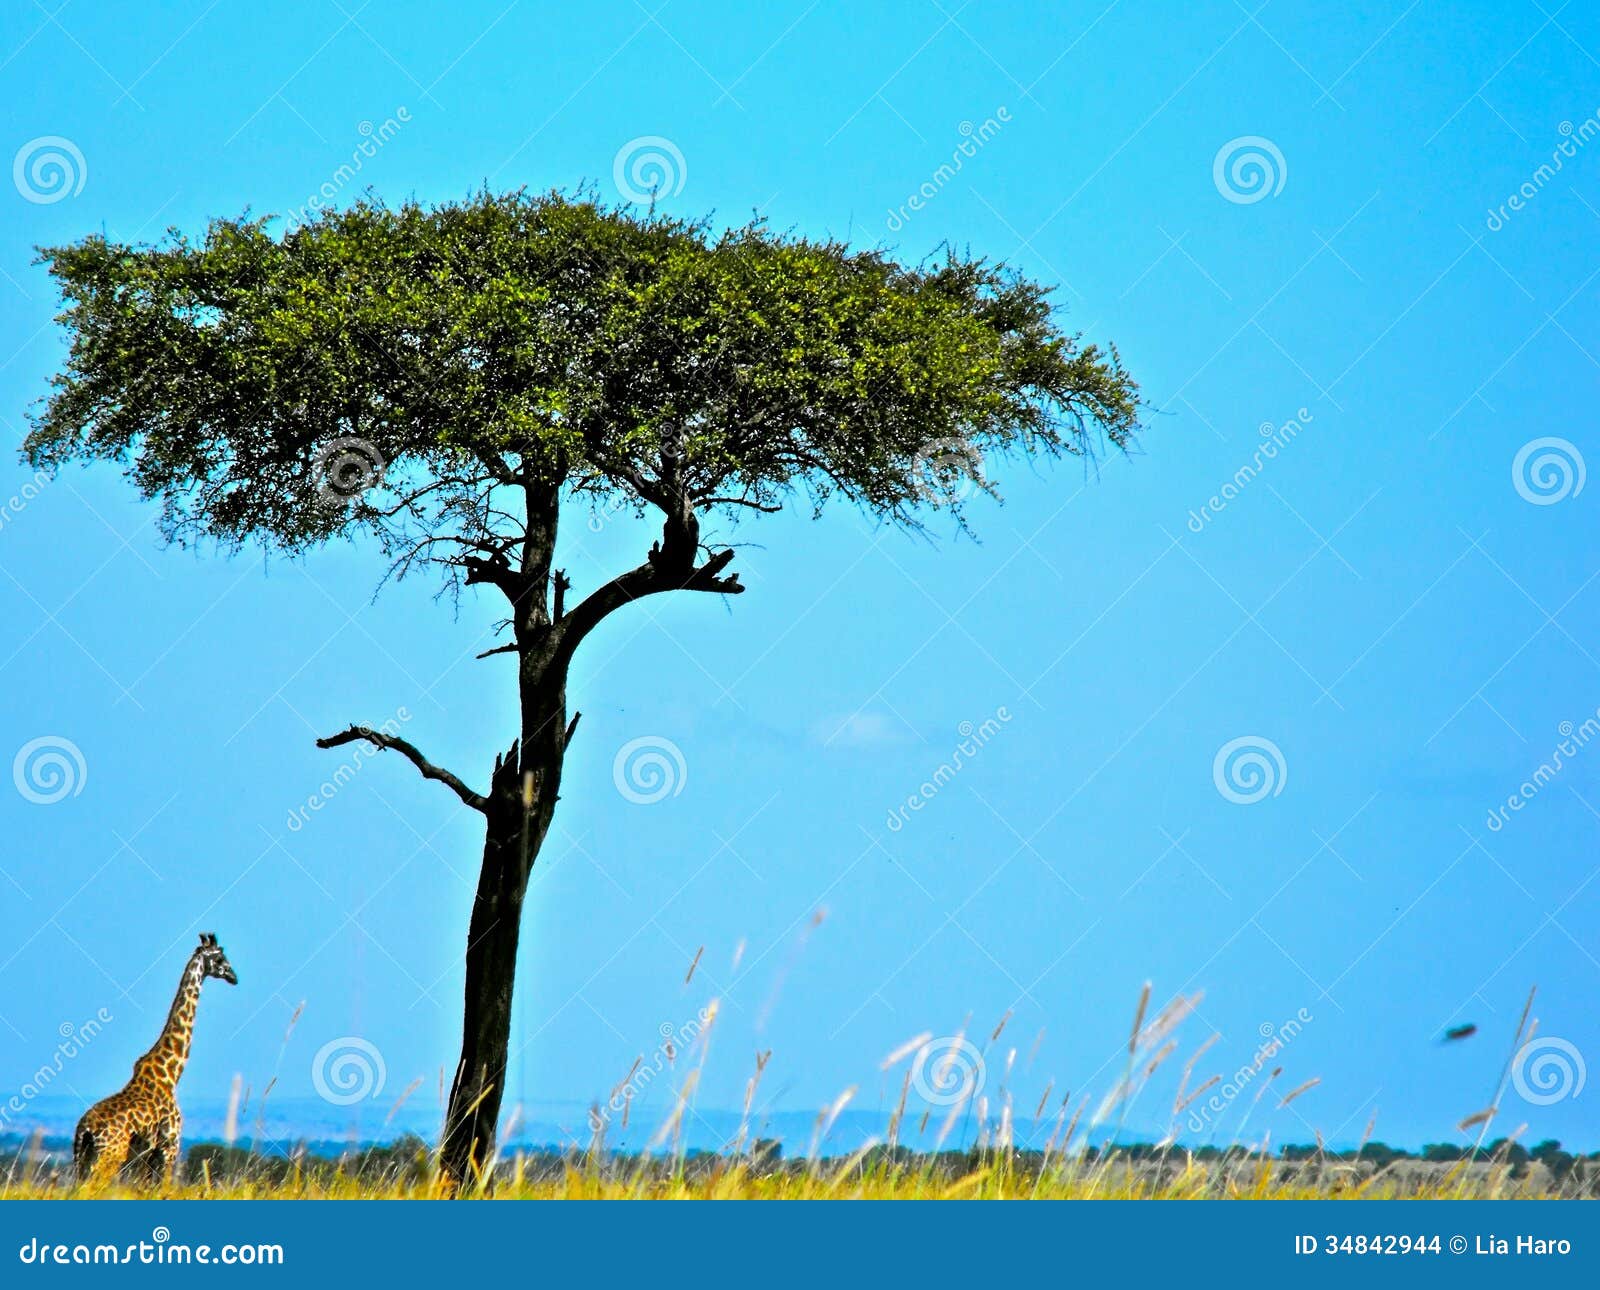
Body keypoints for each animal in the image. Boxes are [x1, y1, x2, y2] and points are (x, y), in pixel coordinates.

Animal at [73, 933, 237, 1187]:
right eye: (220, 958)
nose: (233, 976)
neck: (171, 1073)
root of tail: (86, 1128)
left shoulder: (146, 1154)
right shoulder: (168, 1147)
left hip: (82, 1157)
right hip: (109, 1156)